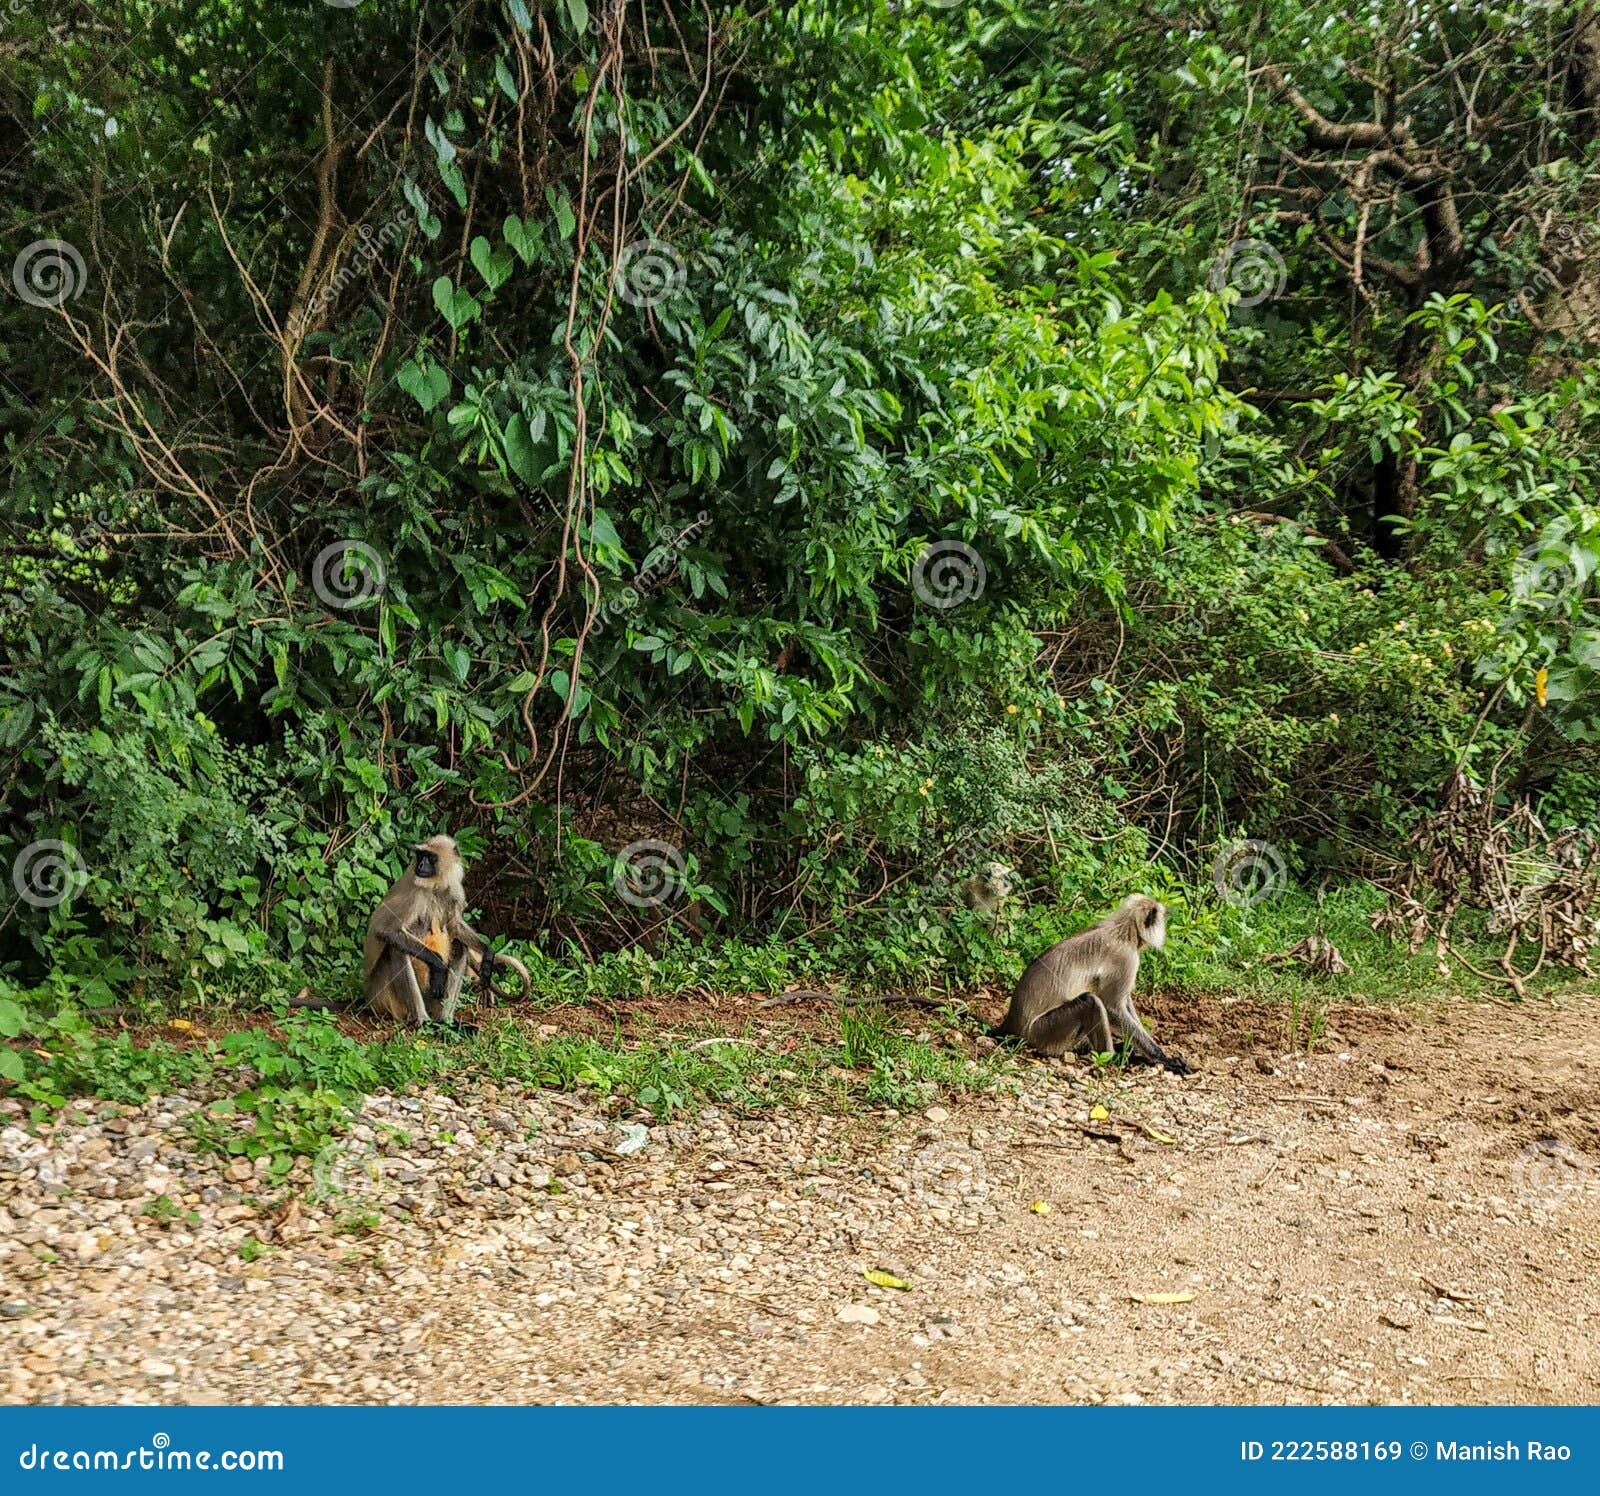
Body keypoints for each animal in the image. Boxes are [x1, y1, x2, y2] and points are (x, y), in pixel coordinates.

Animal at [992, 894, 1192, 1074]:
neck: (1124, 930)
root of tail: (1010, 1026)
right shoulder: (1126, 958)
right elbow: (1112, 1007)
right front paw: (1160, 1057)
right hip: (1042, 1033)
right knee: (1090, 1002)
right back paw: (1113, 1057)